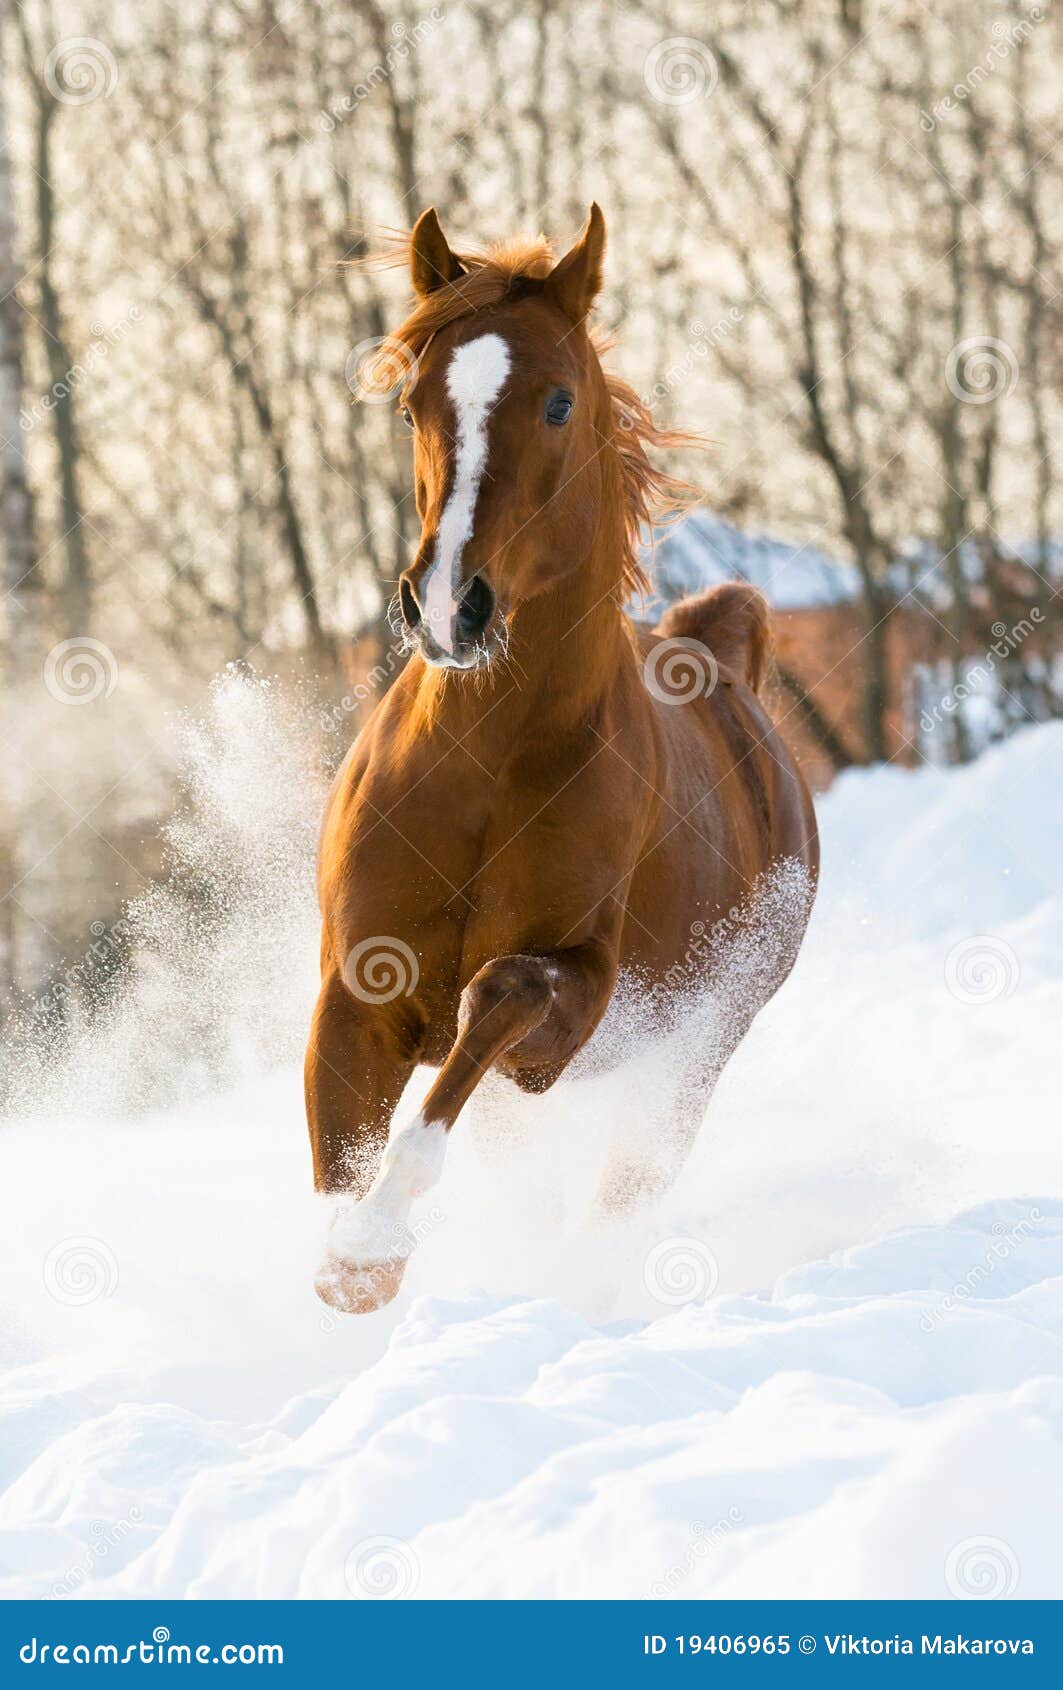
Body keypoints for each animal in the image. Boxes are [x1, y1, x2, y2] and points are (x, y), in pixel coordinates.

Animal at [307, 204, 819, 1314]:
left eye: (557, 401)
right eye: (411, 401)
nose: (448, 606)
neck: (485, 762)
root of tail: (721, 656)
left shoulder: (570, 1000)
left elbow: (495, 1003)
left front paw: (374, 1247)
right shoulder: (357, 990)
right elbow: (338, 1158)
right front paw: (348, 1265)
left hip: (691, 1058)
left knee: (618, 1192)